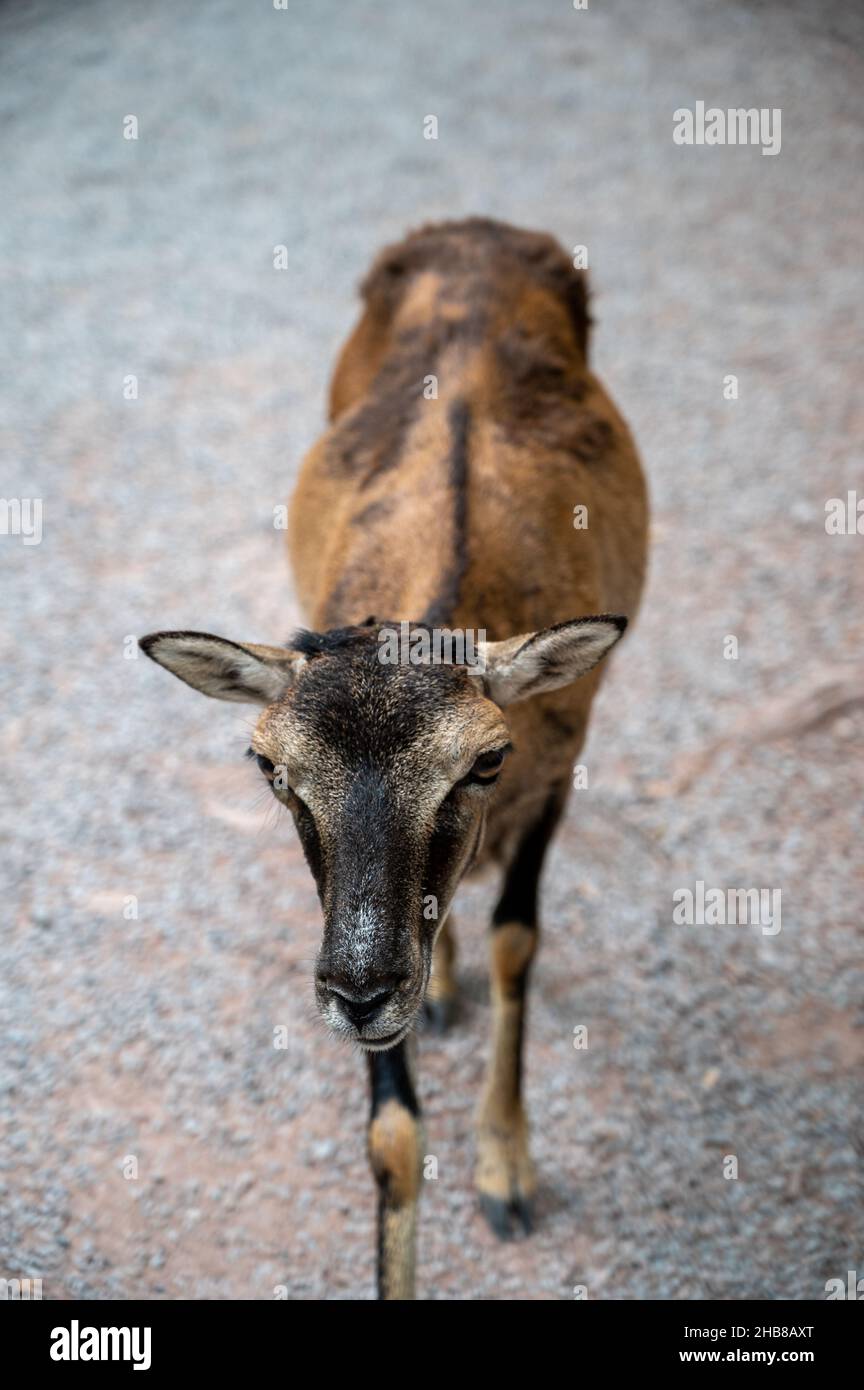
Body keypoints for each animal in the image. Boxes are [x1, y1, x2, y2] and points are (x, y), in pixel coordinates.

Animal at [140, 217, 648, 1299]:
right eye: (269, 768)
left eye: (488, 760)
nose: (359, 990)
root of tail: (475, 228)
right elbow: (394, 1137)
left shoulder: (560, 764)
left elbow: (518, 941)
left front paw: (508, 1173)